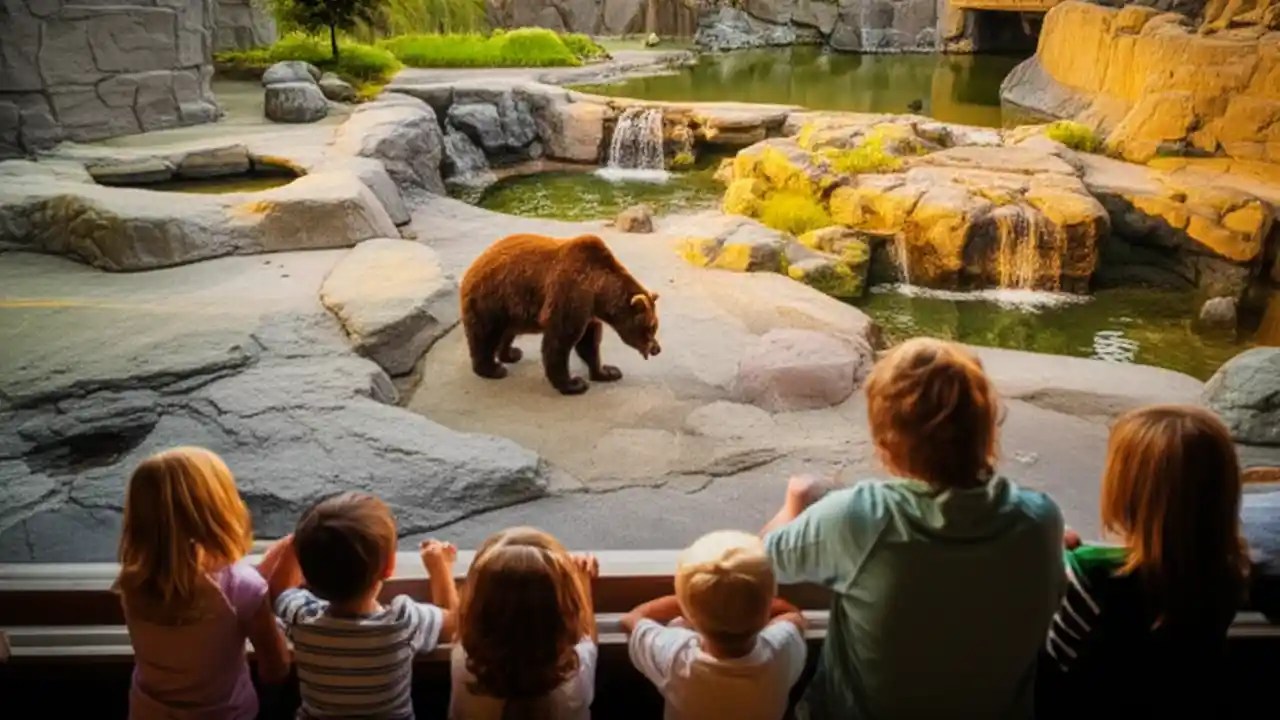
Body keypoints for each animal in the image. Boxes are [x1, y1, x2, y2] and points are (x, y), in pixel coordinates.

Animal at [459, 233, 662, 396]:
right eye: (651, 327)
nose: (657, 349)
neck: (599, 292)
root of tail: (472, 266)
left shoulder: (588, 311)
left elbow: (589, 342)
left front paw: (607, 372)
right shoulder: (569, 293)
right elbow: (560, 340)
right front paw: (574, 384)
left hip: (511, 306)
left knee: (508, 331)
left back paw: (511, 354)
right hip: (491, 298)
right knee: (485, 333)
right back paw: (492, 369)